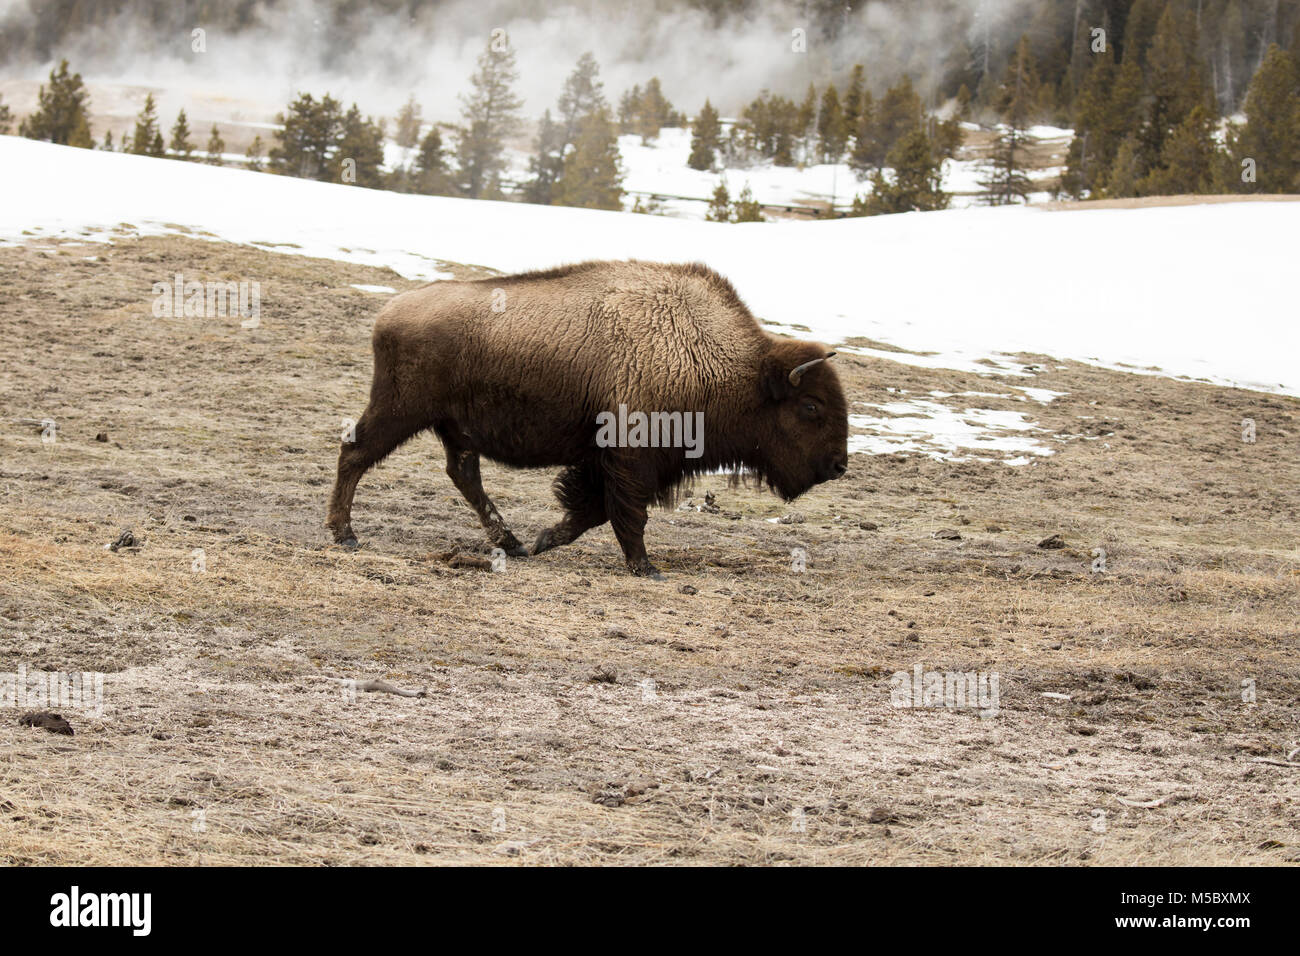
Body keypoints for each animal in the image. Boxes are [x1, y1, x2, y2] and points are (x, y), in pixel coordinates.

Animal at [327, 260, 848, 577]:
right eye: (810, 406)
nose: (839, 465)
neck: (728, 365)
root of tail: (389, 311)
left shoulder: (611, 460)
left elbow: (592, 510)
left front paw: (544, 540)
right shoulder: (633, 457)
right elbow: (627, 513)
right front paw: (646, 568)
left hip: (456, 429)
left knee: (463, 475)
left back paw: (513, 543)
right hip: (400, 410)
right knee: (356, 452)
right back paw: (345, 535)